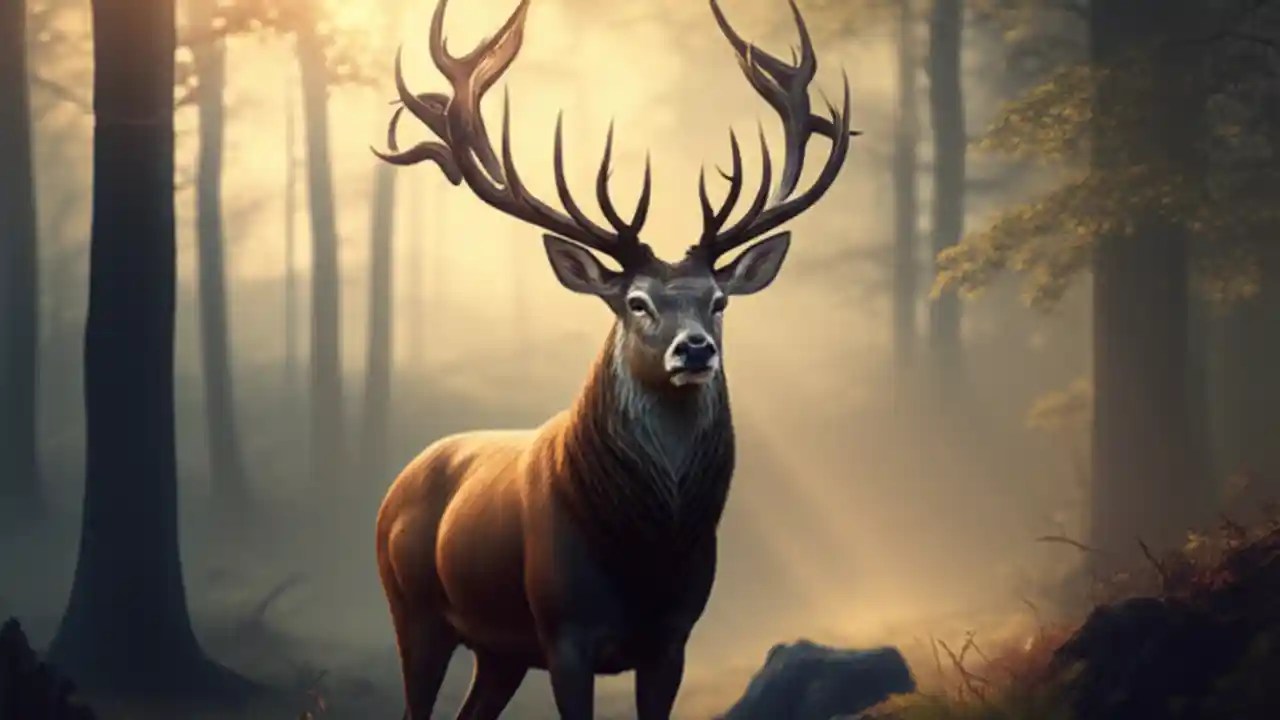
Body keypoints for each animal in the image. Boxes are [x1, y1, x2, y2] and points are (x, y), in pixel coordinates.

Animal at [372, 0, 853, 718]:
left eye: (718, 301)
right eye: (636, 302)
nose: (695, 347)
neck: (645, 554)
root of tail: (394, 485)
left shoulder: (674, 640)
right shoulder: (565, 632)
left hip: (500, 651)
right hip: (414, 609)